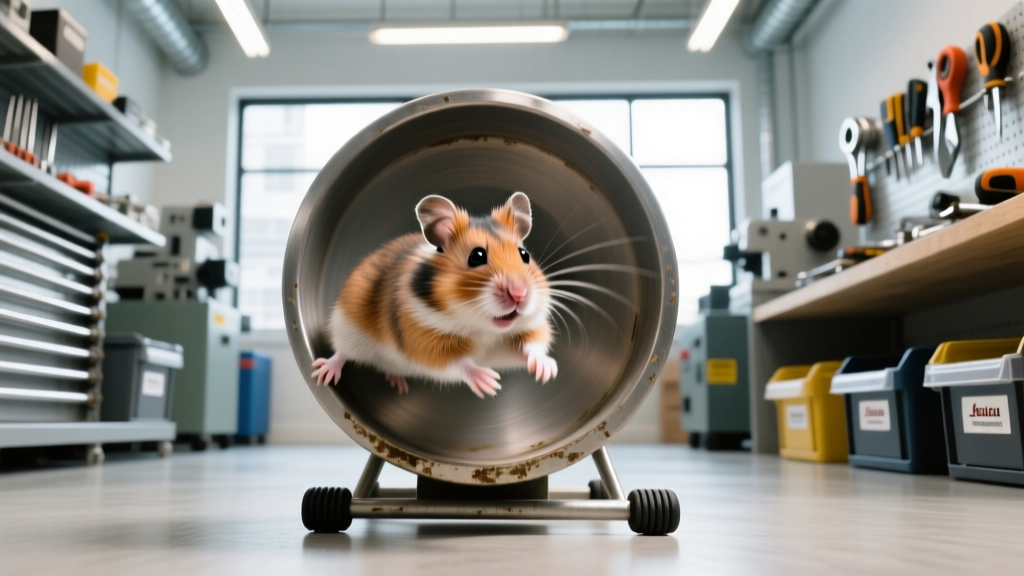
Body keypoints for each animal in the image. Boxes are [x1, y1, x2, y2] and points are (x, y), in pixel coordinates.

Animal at [311, 192, 558, 399]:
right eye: (476, 256)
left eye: (524, 254)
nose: (519, 294)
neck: (481, 327)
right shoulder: (425, 341)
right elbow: (457, 363)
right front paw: (490, 383)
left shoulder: (519, 335)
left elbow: (531, 346)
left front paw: (548, 371)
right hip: (346, 330)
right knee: (341, 353)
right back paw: (323, 373)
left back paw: (399, 384)